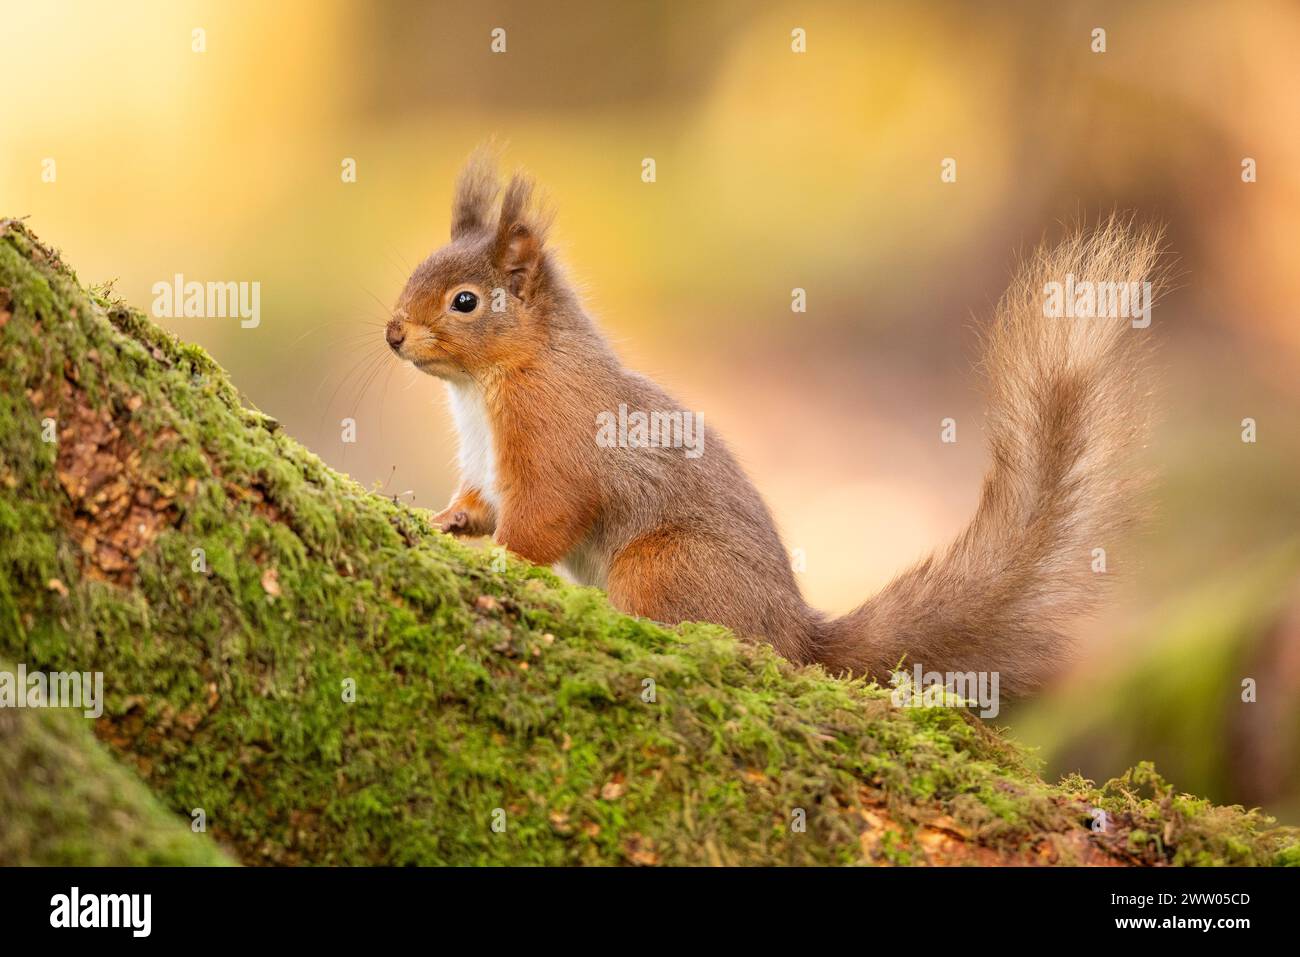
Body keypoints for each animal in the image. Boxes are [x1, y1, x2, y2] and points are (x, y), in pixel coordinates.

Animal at [385, 148, 1164, 696]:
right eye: (415, 269)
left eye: (464, 301)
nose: (392, 333)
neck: (482, 390)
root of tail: (793, 635)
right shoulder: (485, 463)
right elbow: (480, 502)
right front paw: (445, 521)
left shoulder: (555, 445)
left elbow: (543, 519)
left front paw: (500, 559)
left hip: (663, 565)